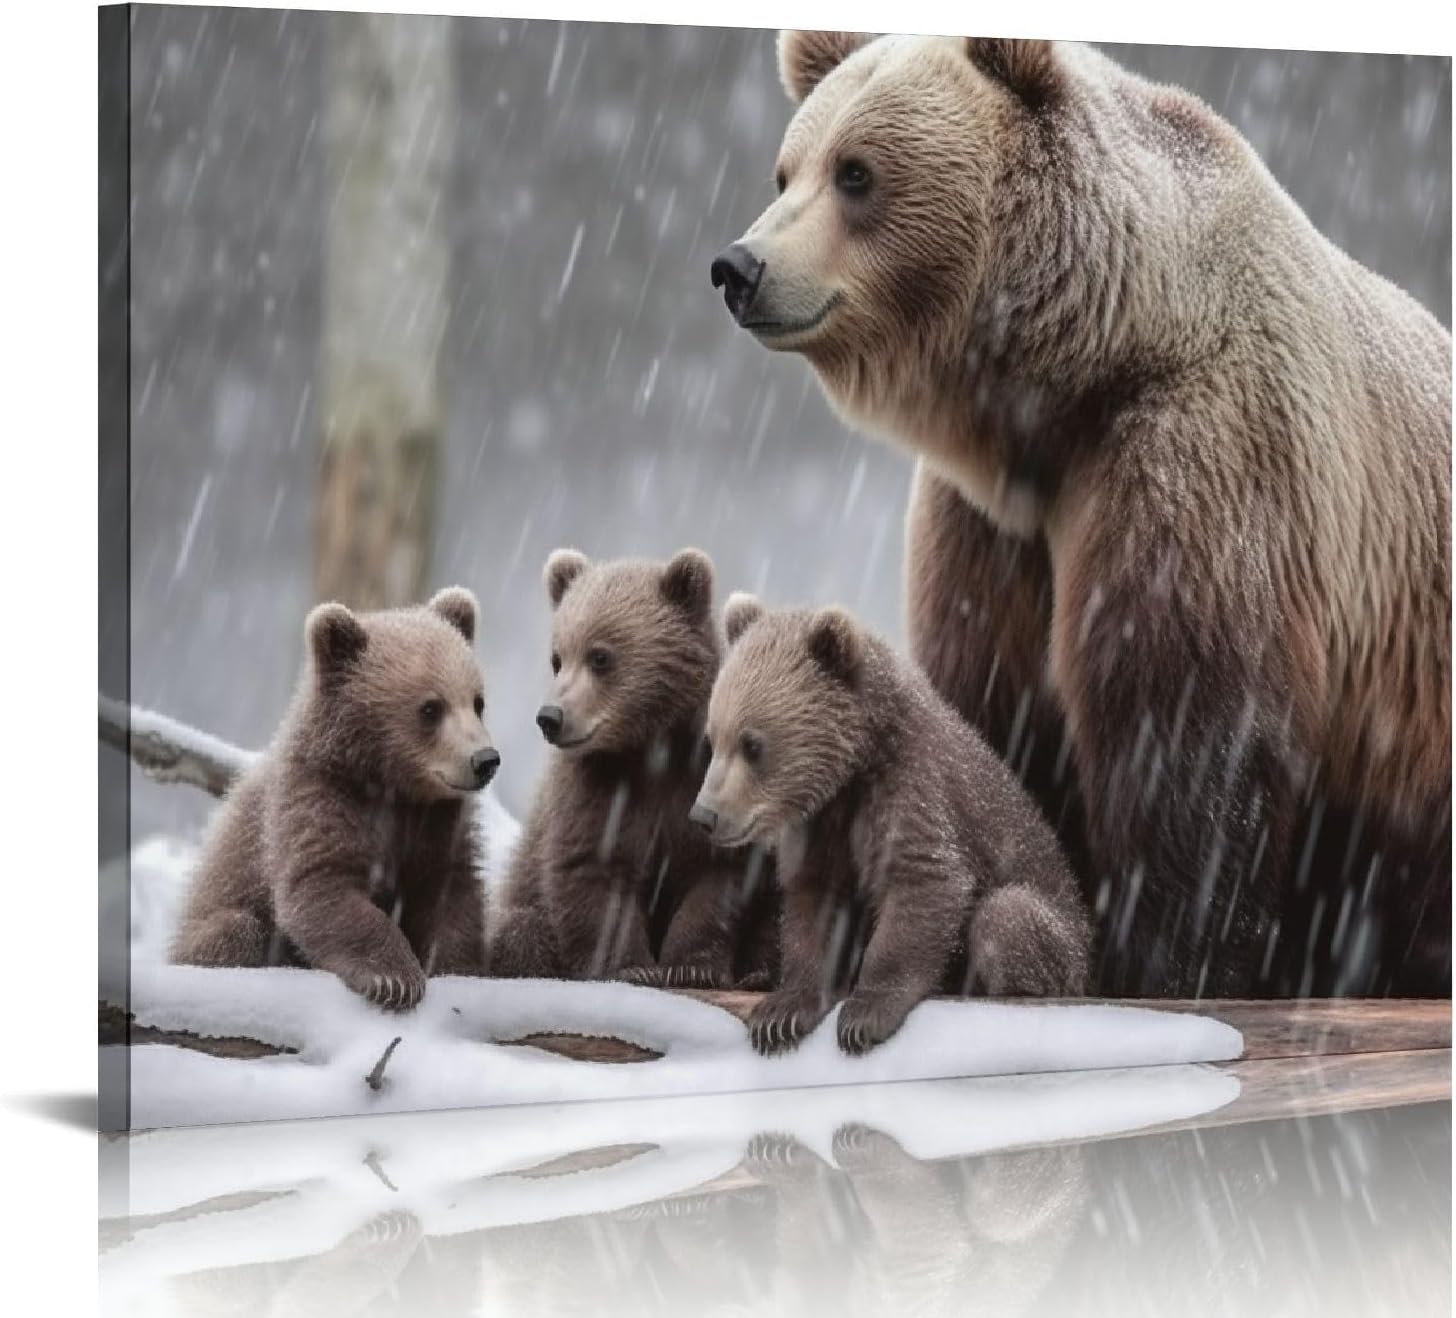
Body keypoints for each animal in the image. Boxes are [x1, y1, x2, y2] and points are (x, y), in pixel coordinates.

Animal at [171, 588, 499, 1009]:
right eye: (430, 708)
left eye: (477, 701)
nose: (484, 760)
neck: (389, 783)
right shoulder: (316, 798)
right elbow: (321, 884)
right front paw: (394, 977)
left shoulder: (440, 822)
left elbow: (449, 894)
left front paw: (453, 967)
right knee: (234, 931)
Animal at [485, 548, 779, 988]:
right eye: (557, 658)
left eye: (600, 656)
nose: (550, 716)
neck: (652, 749)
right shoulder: (597, 788)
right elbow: (596, 871)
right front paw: (633, 967)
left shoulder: (712, 785)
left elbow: (717, 877)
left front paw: (692, 967)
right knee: (521, 932)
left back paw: (759, 974)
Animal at [691, 592, 1090, 1056]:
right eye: (713, 739)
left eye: (753, 744)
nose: (705, 815)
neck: (856, 767)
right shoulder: (822, 826)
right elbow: (813, 903)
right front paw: (781, 1014)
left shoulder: (912, 790)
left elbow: (924, 883)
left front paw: (864, 1015)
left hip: (1066, 936)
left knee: (1009, 915)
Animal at [710, 32, 1452, 998]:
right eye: (785, 169)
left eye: (856, 171)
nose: (739, 267)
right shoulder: (991, 528)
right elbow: (994, 707)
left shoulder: (1203, 457)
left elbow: (1182, 729)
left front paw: (1165, 964)